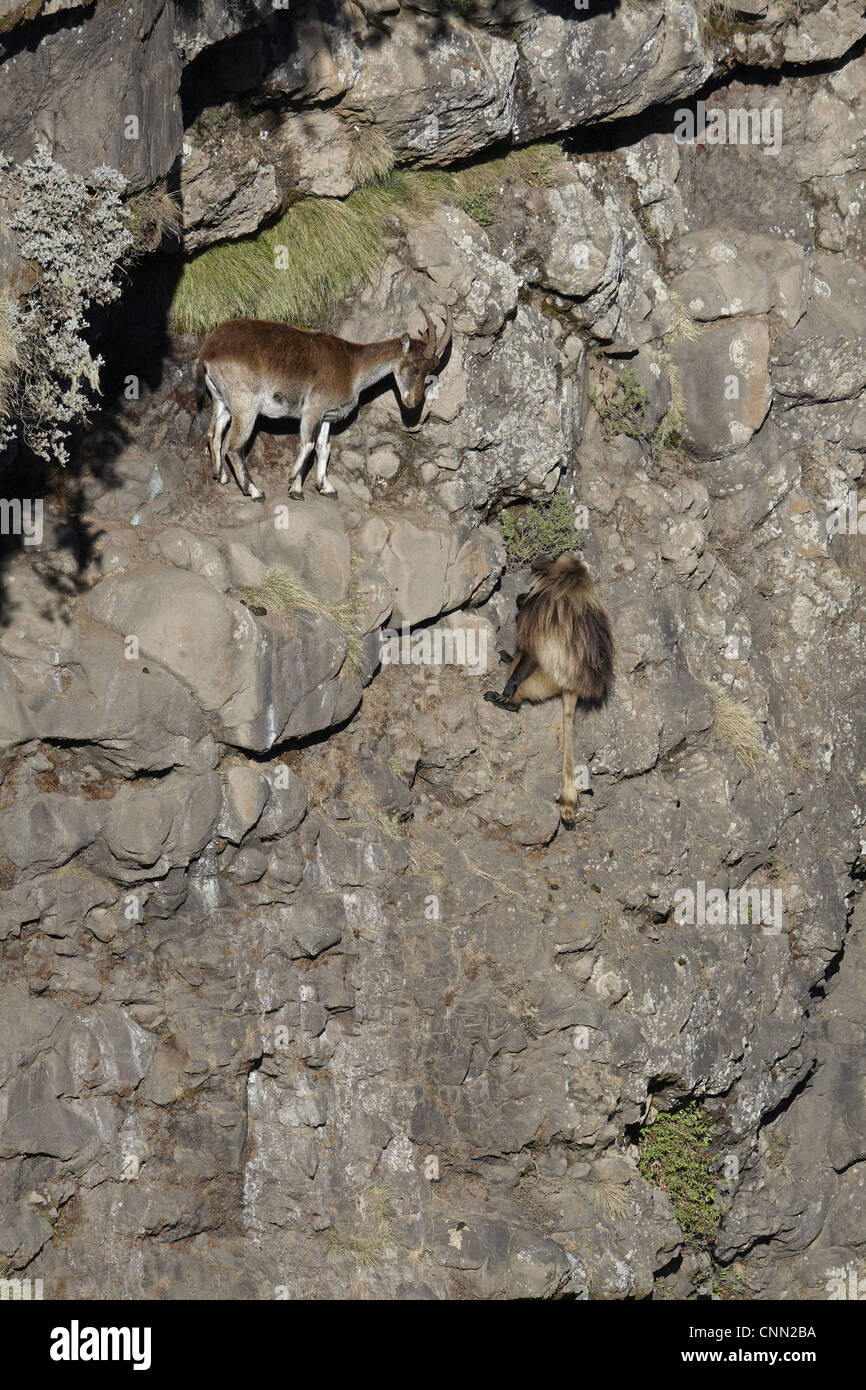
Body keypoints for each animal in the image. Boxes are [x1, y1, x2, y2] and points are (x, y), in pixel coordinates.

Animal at [195, 310, 452, 501]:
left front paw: (325, 487)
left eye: (431, 371)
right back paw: (255, 491)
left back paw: (221, 476)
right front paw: (294, 484)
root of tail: (208, 352)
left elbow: (323, 448)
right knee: (234, 446)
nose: (413, 402)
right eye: (415, 368)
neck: (353, 367)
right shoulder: (313, 409)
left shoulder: (327, 416)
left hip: (221, 401)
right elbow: (307, 444)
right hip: (246, 404)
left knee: (213, 434)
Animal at [484, 552, 614, 827]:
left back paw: (510, 701)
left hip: (543, 679)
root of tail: (572, 684)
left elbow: (533, 652)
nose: (536, 564)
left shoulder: (542, 604)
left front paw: (507, 692)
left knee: (527, 660)